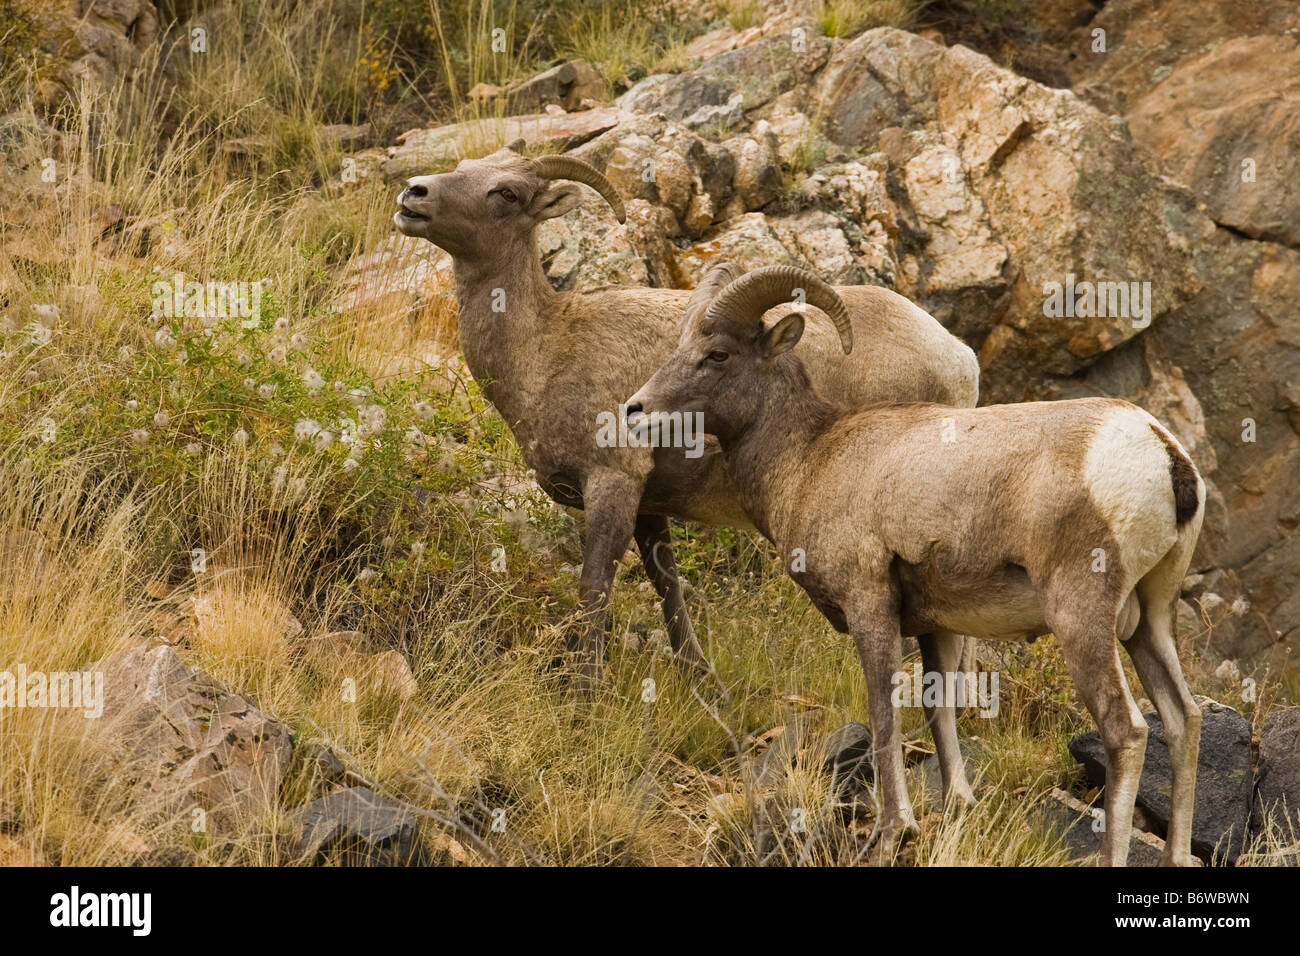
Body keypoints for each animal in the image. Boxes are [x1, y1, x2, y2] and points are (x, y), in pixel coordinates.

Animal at [394, 143, 980, 689]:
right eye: (463, 168)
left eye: (507, 193)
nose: (413, 194)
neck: (545, 348)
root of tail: (960, 359)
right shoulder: (648, 507)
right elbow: (668, 588)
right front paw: (701, 680)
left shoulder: (613, 482)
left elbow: (593, 588)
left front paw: (586, 692)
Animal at [625, 263, 1206, 866]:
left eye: (717, 354)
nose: (635, 410)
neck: (809, 460)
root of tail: (1165, 454)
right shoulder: (937, 627)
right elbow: (938, 713)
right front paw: (957, 808)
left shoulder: (870, 606)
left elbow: (885, 712)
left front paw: (891, 832)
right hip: (1149, 620)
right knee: (1184, 719)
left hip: (1081, 616)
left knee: (1126, 730)